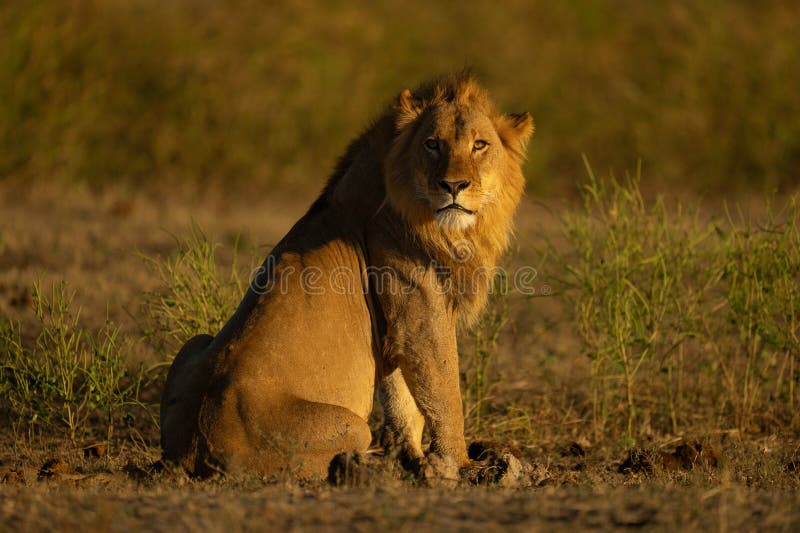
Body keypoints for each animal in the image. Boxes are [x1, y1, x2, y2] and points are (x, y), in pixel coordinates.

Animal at [160, 71, 533, 480]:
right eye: (432, 144)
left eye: (480, 145)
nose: (453, 186)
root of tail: (193, 448)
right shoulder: (420, 315)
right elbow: (444, 394)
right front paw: (461, 464)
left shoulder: (391, 327)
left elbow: (402, 400)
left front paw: (414, 458)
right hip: (350, 425)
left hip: (194, 342)